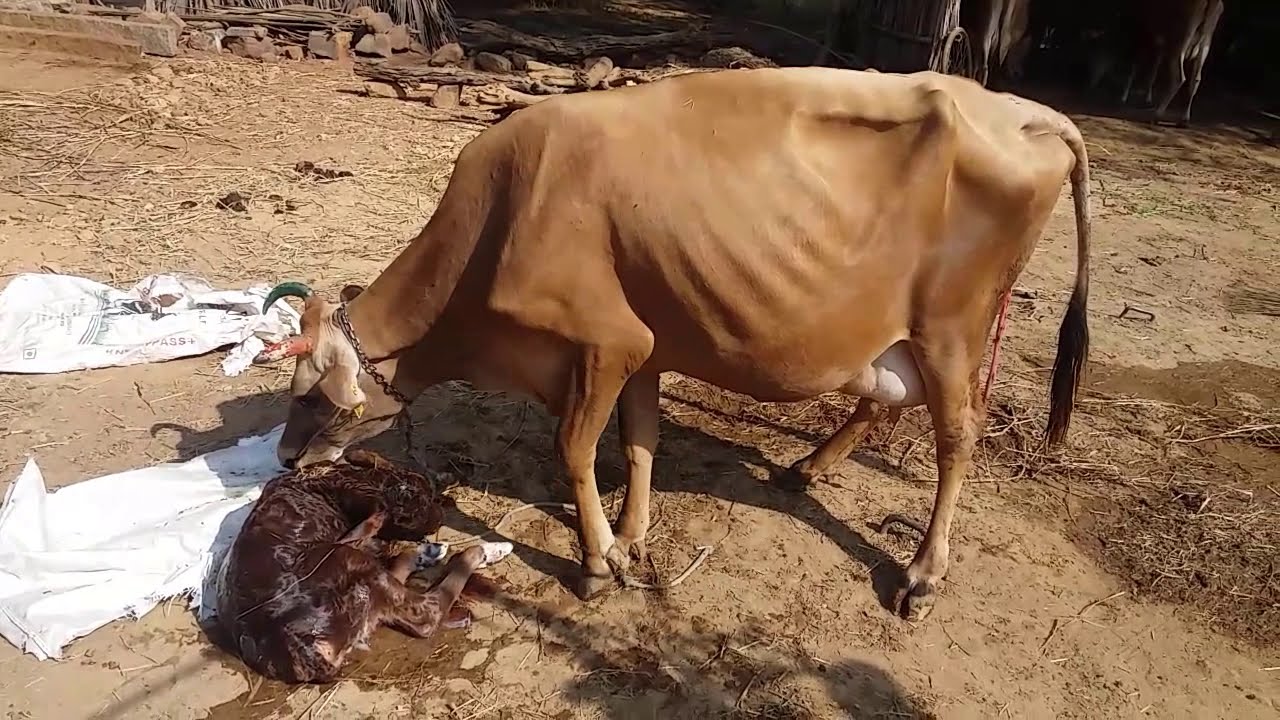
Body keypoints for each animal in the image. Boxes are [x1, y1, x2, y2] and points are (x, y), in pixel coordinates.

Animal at [214, 449, 513, 683]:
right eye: (424, 504)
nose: (439, 516)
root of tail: (301, 652)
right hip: (347, 560)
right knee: (427, 613)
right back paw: (485, 551)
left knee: (399, 574)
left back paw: (428, 553)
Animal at [251, 66, 1092, 622]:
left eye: (317, 397)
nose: (284, 462)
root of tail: (1025, 111)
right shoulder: (647, 347)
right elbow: (641, 441)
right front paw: (631, 537)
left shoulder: (608, 341)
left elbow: (576, 448)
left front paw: (596, 562)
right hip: (907, 333)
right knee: (888, 401)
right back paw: (807, 468)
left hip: (953, 325)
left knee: (958, 436)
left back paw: (921, 574)